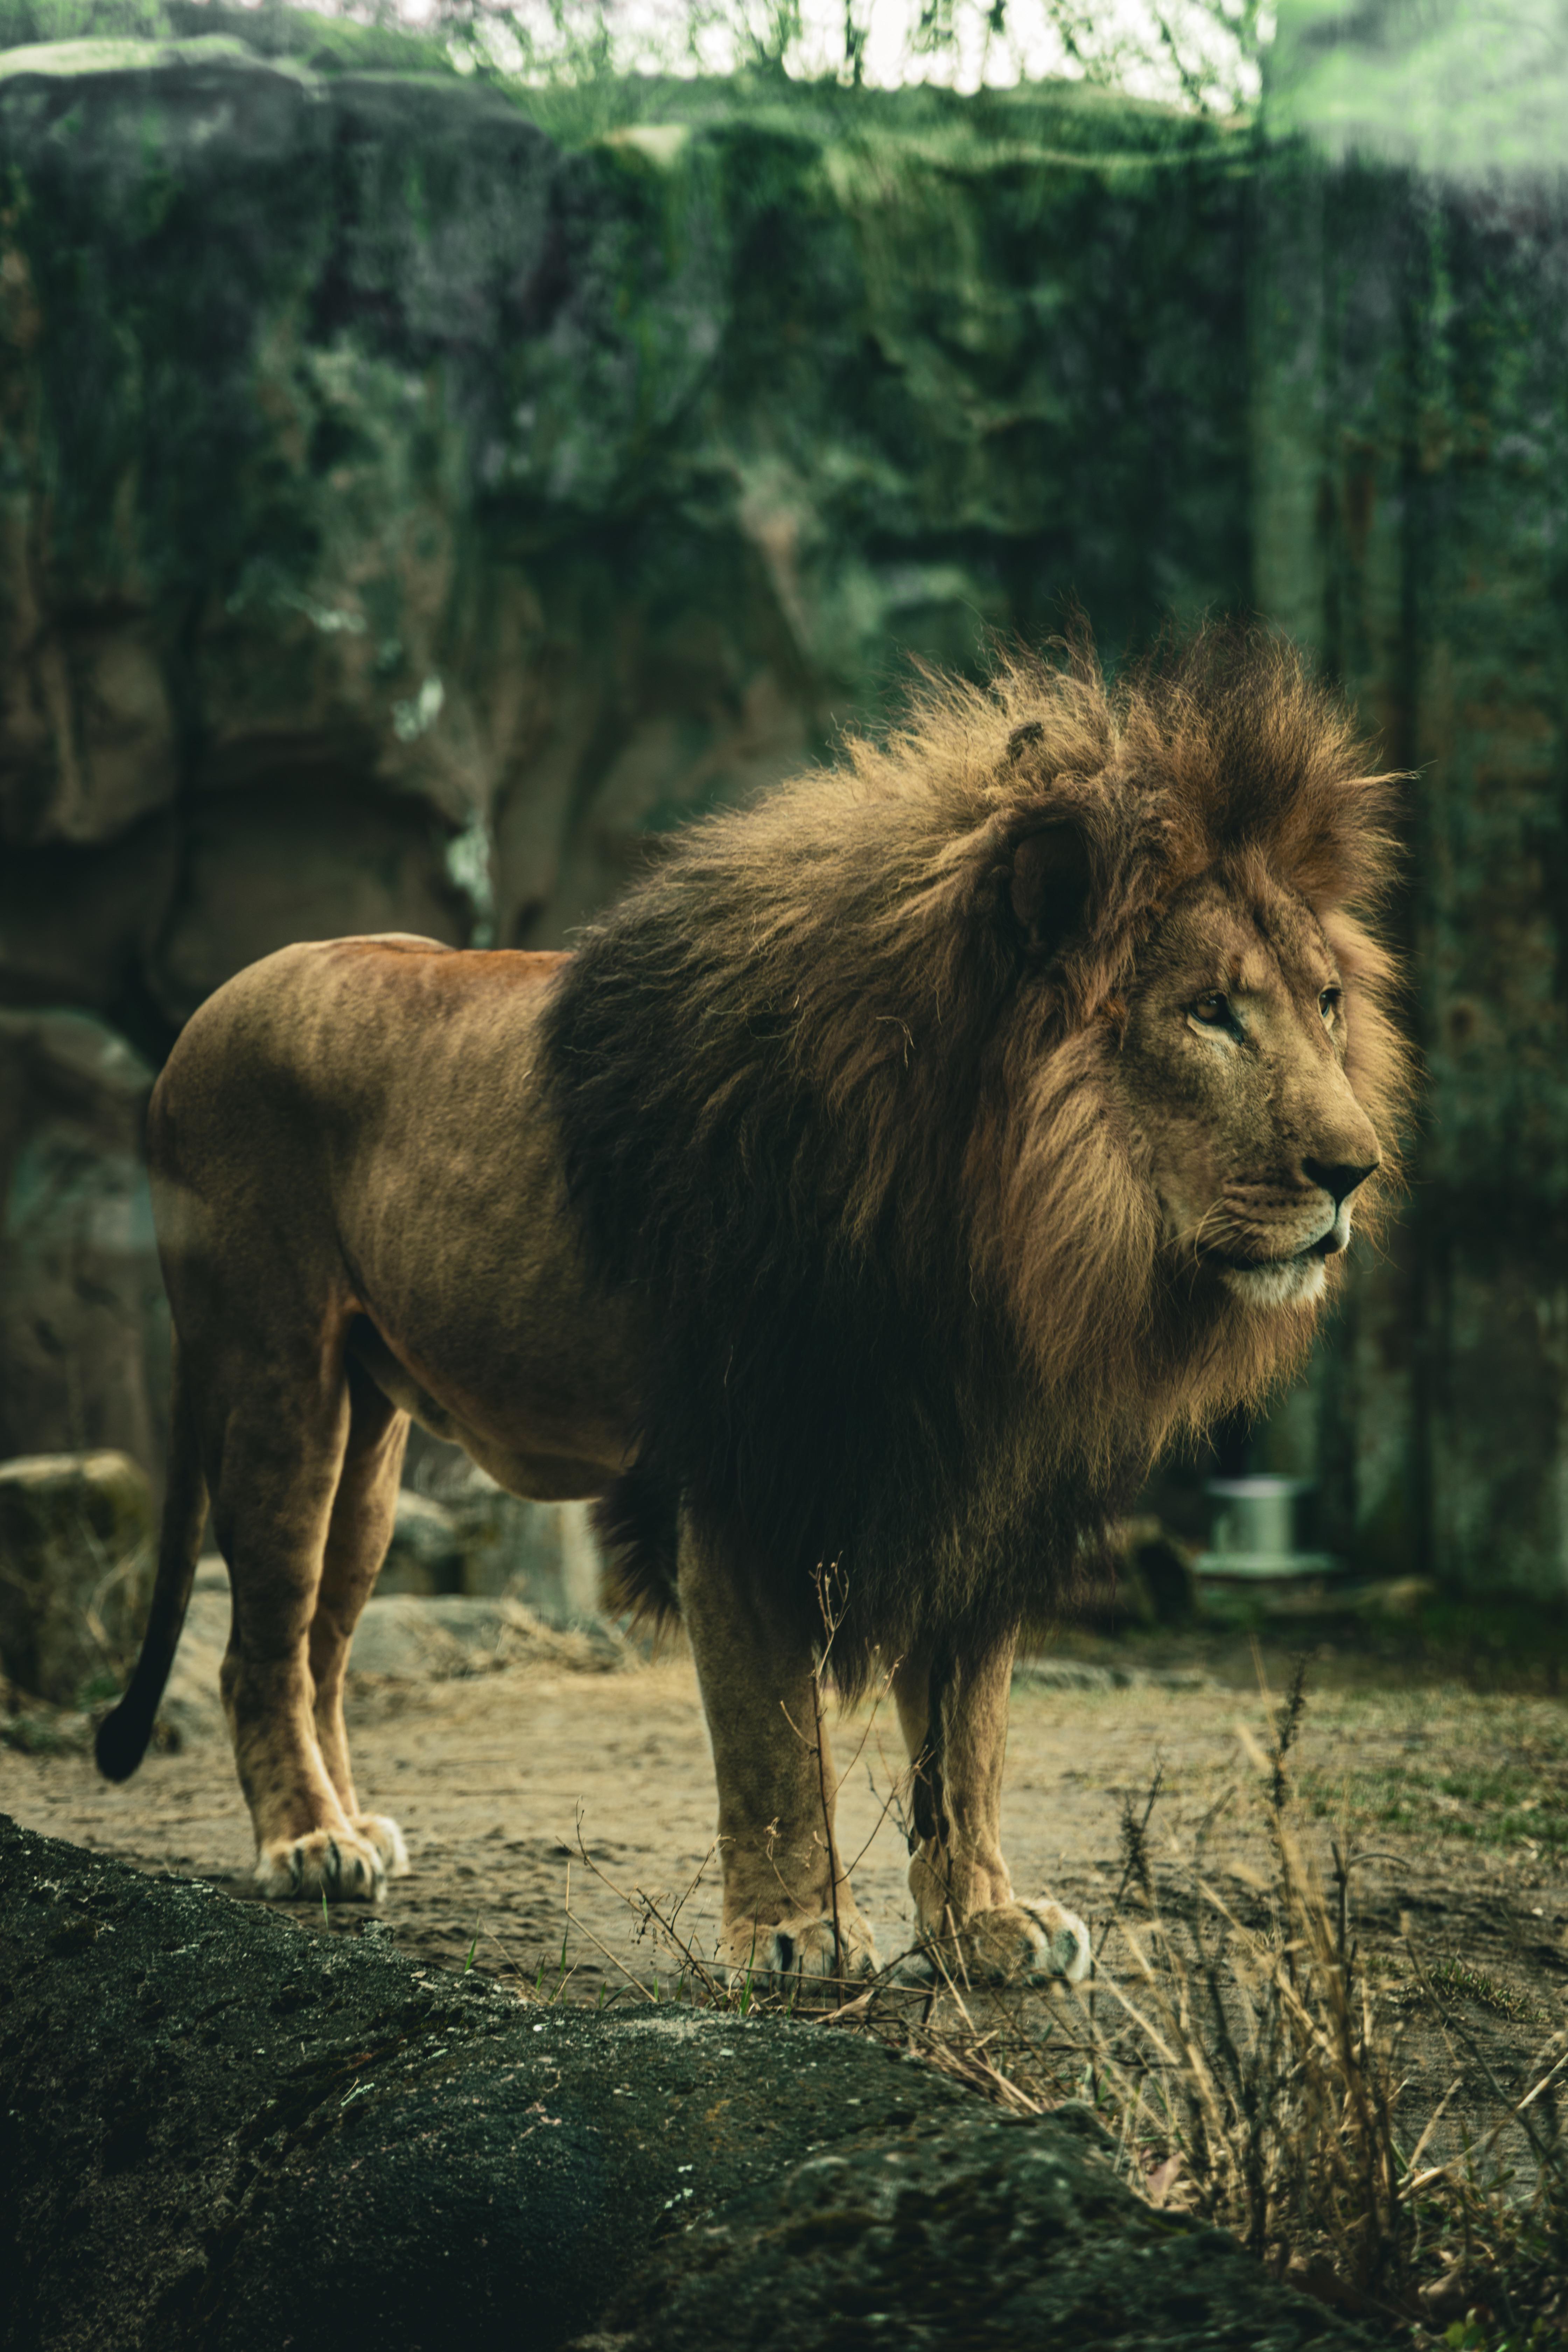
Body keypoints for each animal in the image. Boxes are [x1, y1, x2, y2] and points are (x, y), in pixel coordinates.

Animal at [97, 628, 1409, 1994]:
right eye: (1210, 1011)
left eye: (1325, 1002)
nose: (1354, 1170)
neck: (998, 1240)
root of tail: (200, 1020)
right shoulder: (743, 1470)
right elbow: (777, 1735)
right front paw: (797, 1934)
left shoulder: (976, 1476)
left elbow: (969, 1739)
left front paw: (985, 1926)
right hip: (273, 1375)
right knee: (257, 1644)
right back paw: (305, 1847)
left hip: (370, 1432)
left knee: (322, 1642)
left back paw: (353, 1825)